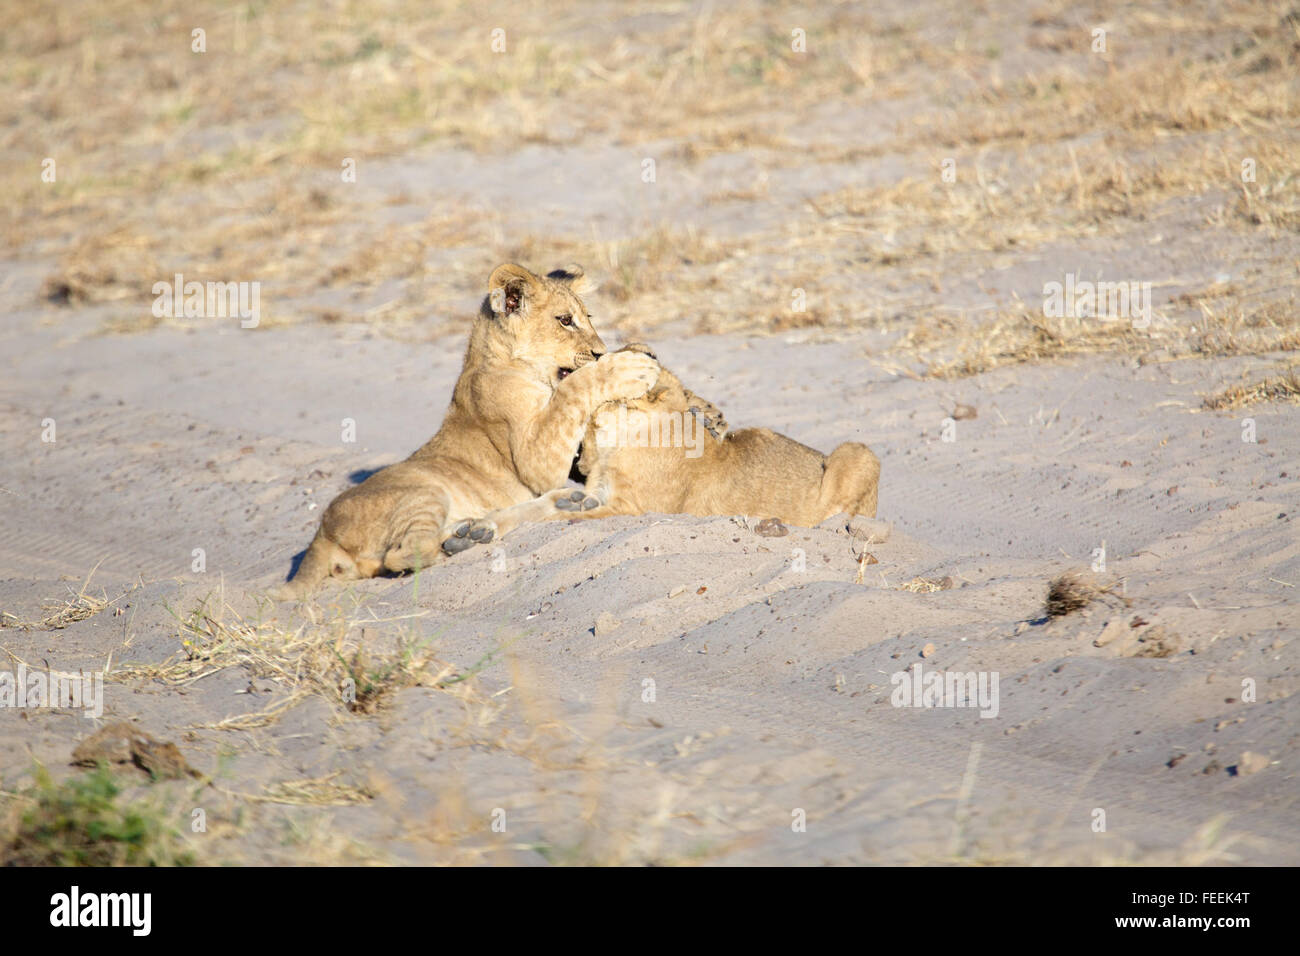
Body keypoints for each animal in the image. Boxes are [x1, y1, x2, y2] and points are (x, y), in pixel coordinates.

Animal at [272, 265, 660, 599]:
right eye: (565, 321)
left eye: (588, 318)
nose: (600, 352)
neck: (497, 362)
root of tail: (322, 531)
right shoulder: (536, 461)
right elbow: (573, 389)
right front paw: (628, 367)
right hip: (424, 492)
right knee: (403, 554)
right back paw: (464, 540)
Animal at [453, 343, 880, 542]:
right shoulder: (596, 492)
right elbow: (534, 509)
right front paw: (476, 528)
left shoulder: (630, 508)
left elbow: (553, 518)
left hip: (857, 451)